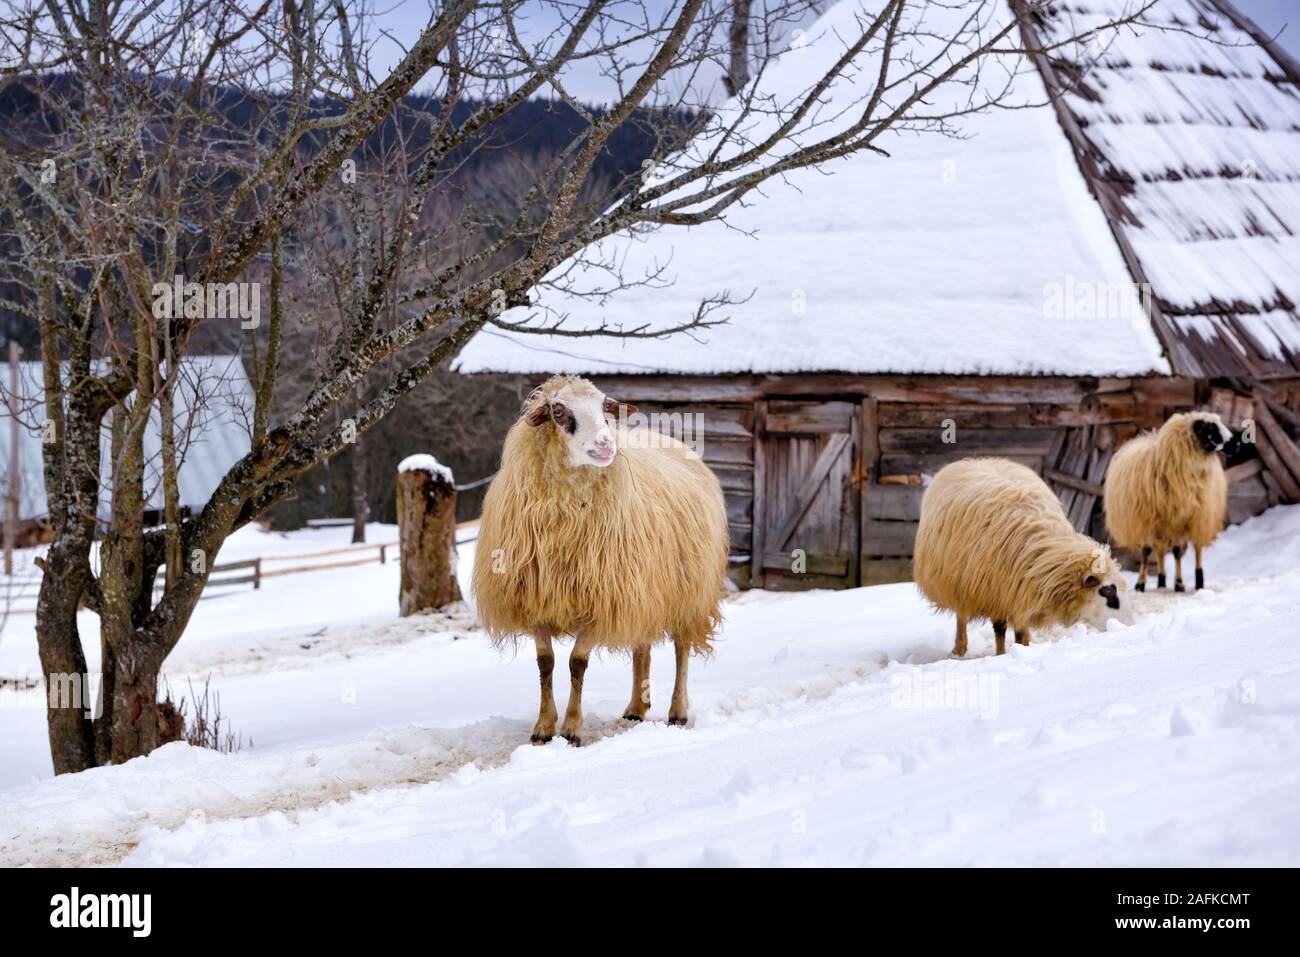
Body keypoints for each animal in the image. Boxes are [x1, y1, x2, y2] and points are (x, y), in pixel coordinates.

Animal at [472, 375, 729, 746]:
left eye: (605, 408)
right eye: (559, 411)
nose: (606, 446)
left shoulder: (601, 600)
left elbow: (577, 663)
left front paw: (571, 729)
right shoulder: (535, 600)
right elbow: (545, 663)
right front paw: (543, 728)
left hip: (689, 592)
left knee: (681, 650)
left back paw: (677, 711)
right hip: (643, 591)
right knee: (642, 647)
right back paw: (636, 707)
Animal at [913, 457, 1133, 657]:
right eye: (1108, 591)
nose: (1129, 627)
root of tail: (976, 460)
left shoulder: (1020, 591)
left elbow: (1019, 630)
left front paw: (1023, 648)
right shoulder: (995, 592)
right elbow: (1000, 629)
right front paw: (1002, 655)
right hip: (957, 582)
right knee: (961, 615)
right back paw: (959, 649)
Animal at [1104, 411, 1232, 593]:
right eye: (1209, 427)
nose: (1235, 444)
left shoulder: (1182, 519)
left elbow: (1177, 551)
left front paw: (1179, 583)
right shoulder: (1147, 519)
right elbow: (1146, 551)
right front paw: (1140, 584)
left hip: (1200, 518)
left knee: (1197, 548)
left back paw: (1198, 581)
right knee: (1159, 550)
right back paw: (1161, 581)